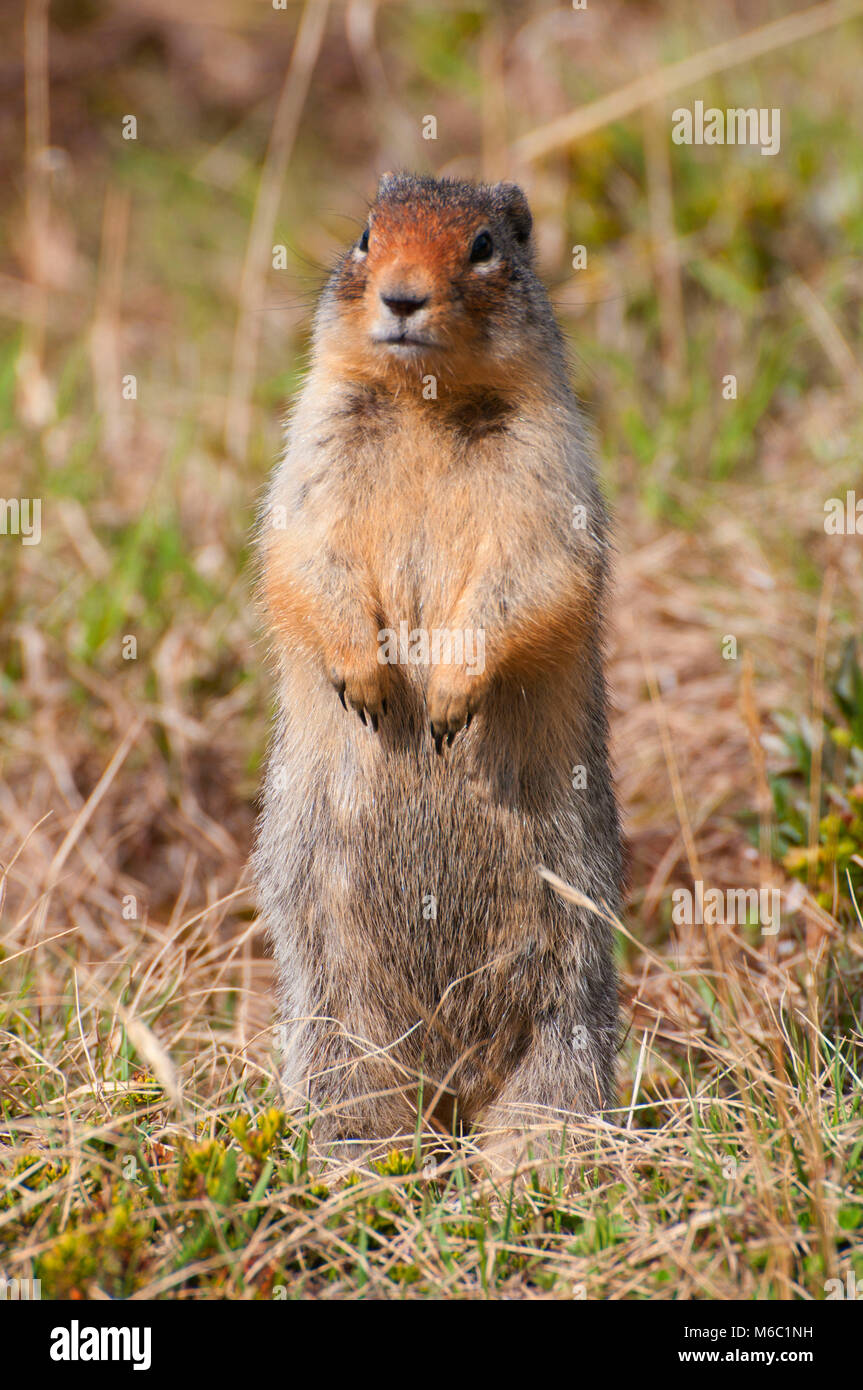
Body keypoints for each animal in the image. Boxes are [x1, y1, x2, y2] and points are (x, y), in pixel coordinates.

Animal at [254, 172, 622, 1154]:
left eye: (486, 245)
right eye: (364, 235)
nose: (401, 296)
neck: (422, 403)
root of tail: (453, 1087)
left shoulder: (547, 474)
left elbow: (533, 575)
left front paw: (450, 696)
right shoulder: (313, 454)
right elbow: (302, 558)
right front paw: (370, 683)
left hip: (566, 1027)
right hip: (337, 1029)